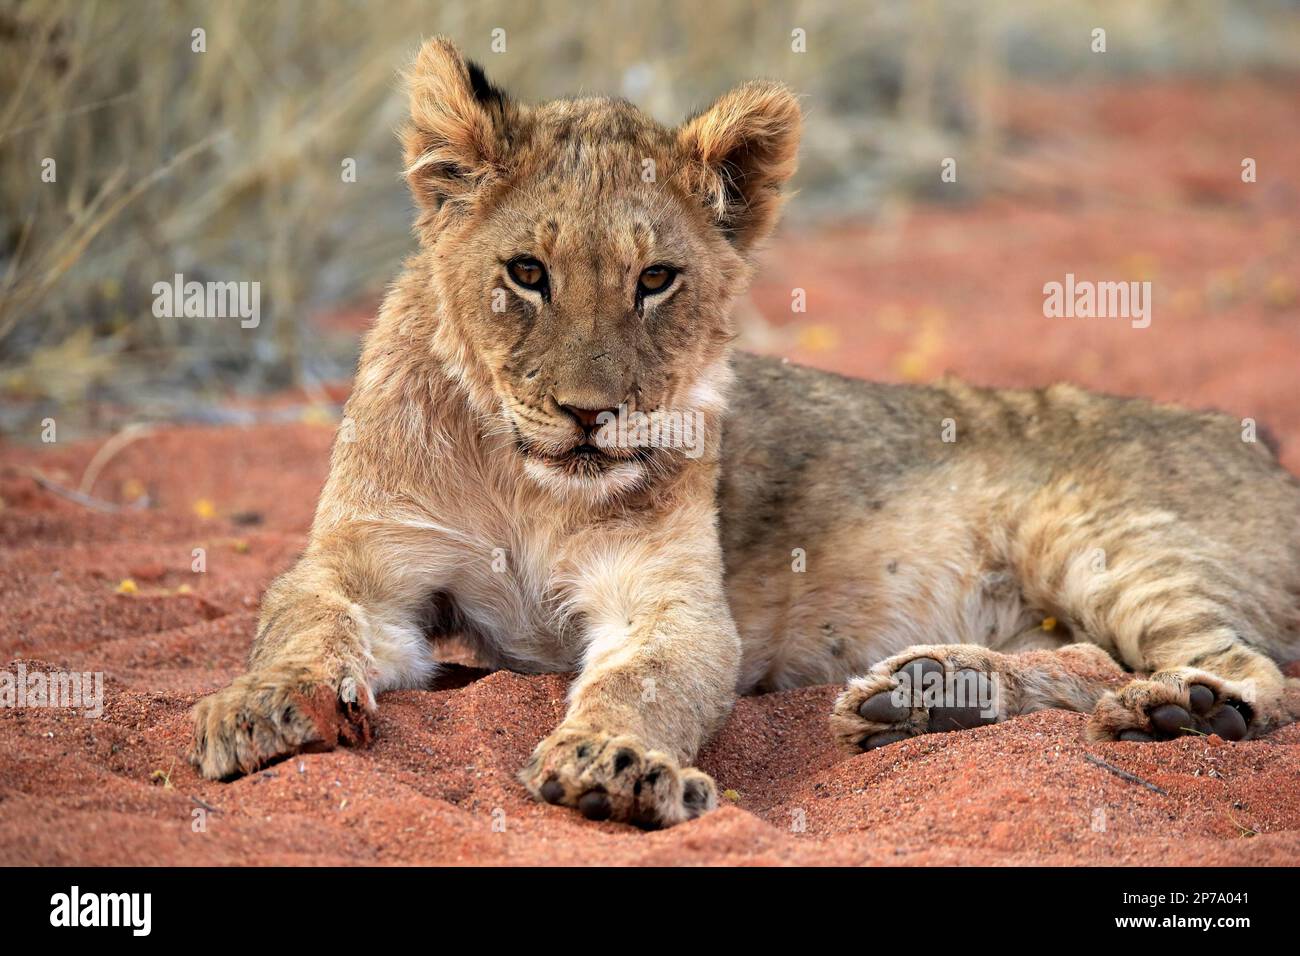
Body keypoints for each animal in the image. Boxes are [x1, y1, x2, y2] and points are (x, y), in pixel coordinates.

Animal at [191, 38, 1300, 828]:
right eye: (526, 273)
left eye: (655, 279)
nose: (591, 413)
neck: (526, 481)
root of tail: (1260, 444)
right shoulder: (367, 571)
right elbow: (305, 628)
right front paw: (256, 710)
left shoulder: (671, 600)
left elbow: (640, 683)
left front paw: (614, 767)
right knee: (1095, 662)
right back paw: (929, 696)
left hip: (1103, 539)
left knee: (1250, 673)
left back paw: (1182, 709)